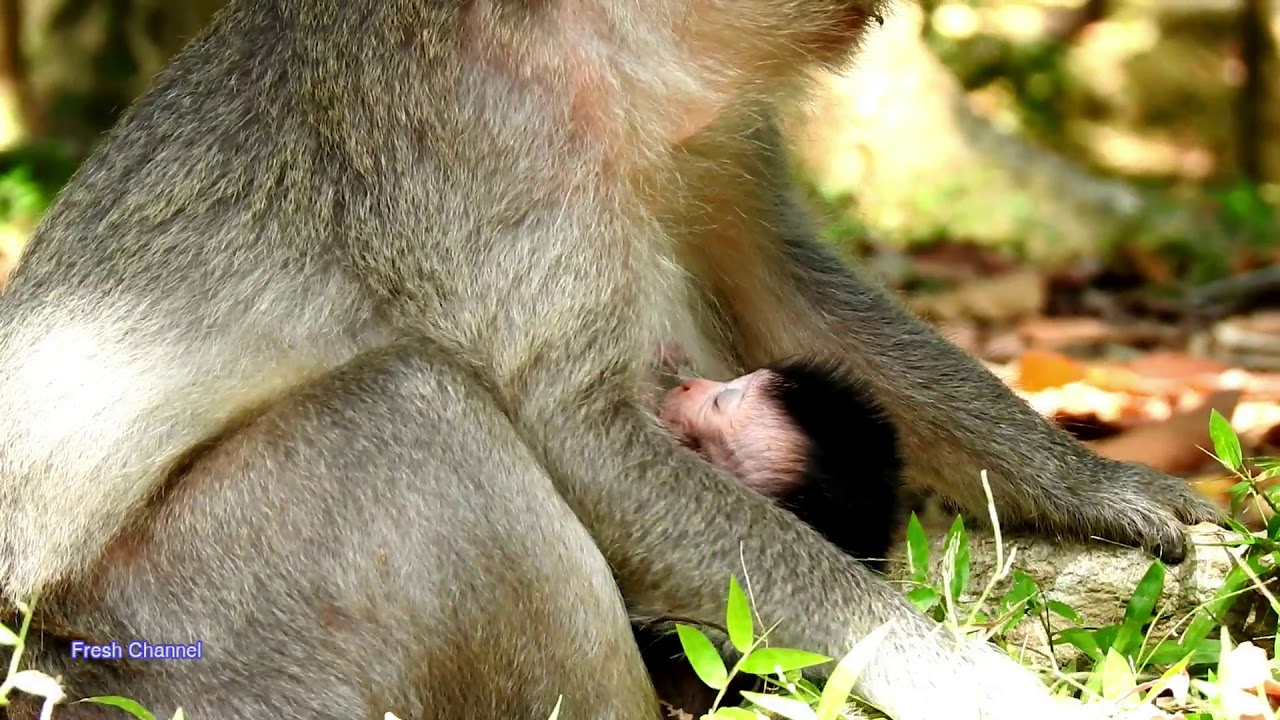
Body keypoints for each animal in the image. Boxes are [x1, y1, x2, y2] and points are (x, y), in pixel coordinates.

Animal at [0, 1, 1219, 719]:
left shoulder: (700, 117)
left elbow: (781, 296)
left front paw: (1102, 486)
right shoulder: (481, 129)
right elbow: (568, 434)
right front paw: (971, 683)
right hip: (177, 653)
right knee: (414, 424)